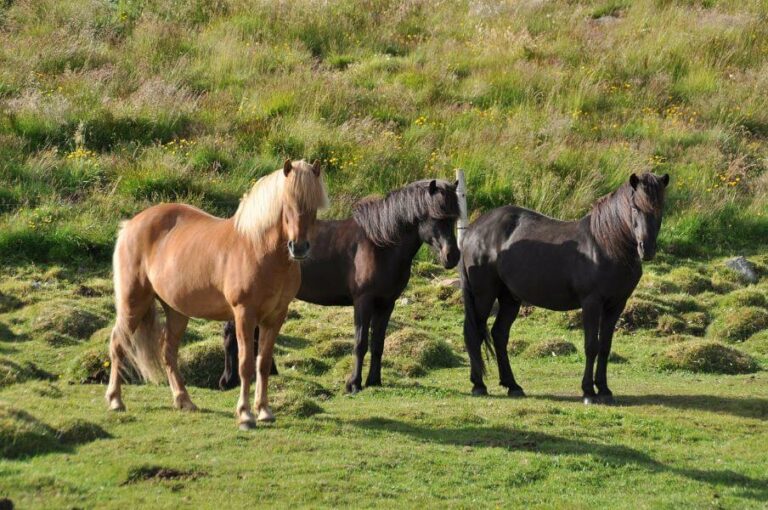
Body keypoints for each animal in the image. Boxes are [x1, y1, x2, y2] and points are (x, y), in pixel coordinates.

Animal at [105, 159, 328, 429]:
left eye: (314, 205)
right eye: (287, 203)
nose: (299, 248)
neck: (258, 249)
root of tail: (131, 224)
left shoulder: (275, 317)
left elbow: (263, 363)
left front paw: (264, 411)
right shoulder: (244, 314)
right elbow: (245, 364)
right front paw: (245, 415)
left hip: (176, 311)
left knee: (167, 351)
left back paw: (184, 401)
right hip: (133, 303)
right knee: (118, 343)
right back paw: (115, 400)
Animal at [219, 179, 461, 394]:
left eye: (455, 217)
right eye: (436, 217)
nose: (452, 256)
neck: (380, 245)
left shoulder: (386, 304)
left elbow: (378, 344)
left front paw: (374, 380)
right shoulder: (363, 301)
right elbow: (361, 343)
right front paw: (353, 383)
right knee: (234, 332)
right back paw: (229, 379)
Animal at [461, 172, 668, 404]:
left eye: (660, 207)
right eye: (634, 208)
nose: (646, 248)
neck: (606, 244)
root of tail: (474, 229)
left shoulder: (616, 305)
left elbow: (605, 347)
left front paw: (604, 390)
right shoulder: (591, 303)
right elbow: (591, 346)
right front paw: (588, 392)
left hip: (510, 298)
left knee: (499, 335)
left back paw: (513, 386)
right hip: (483, 295)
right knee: (473, 332)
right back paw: (479, 385)